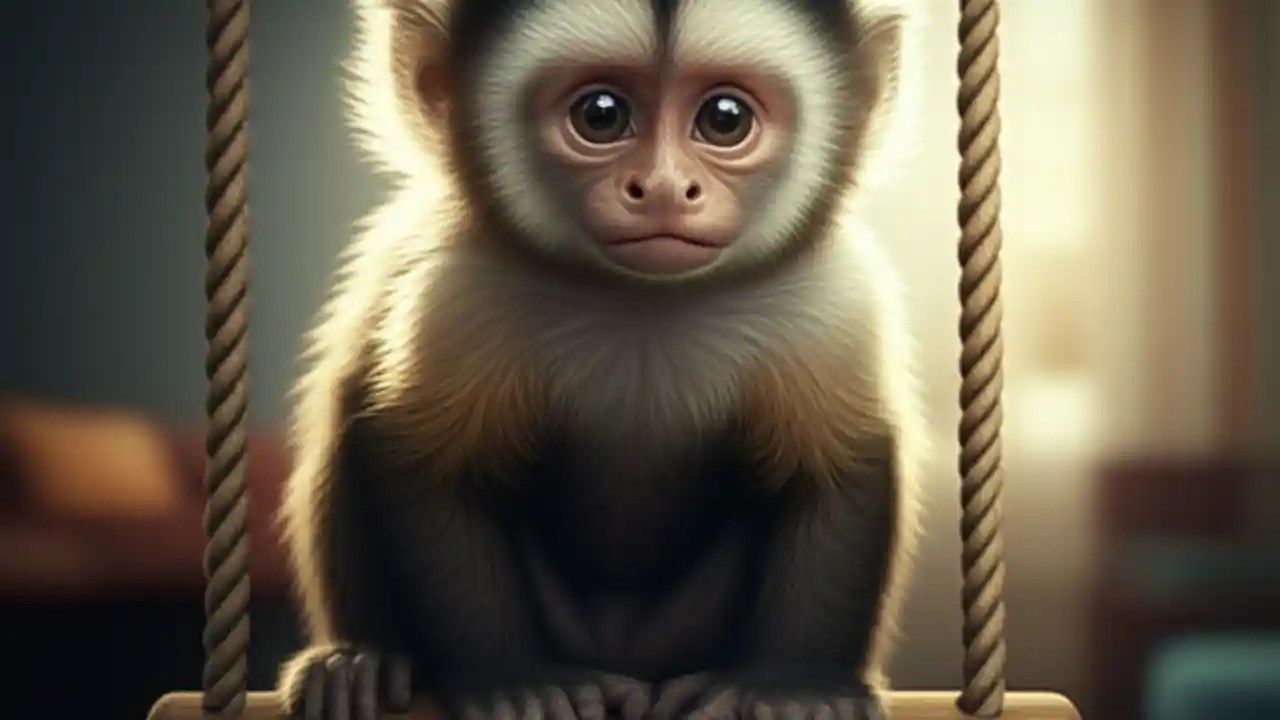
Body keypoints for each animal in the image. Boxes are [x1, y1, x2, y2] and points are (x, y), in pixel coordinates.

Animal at [275, 0, 926, 719]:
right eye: (601, 115)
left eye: (725, 119)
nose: (664, 188)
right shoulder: (459, 289)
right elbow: (426, 469)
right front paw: (512, 678)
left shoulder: (833, 296)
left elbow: (837, 473)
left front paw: (796, 684)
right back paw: (359, 662)